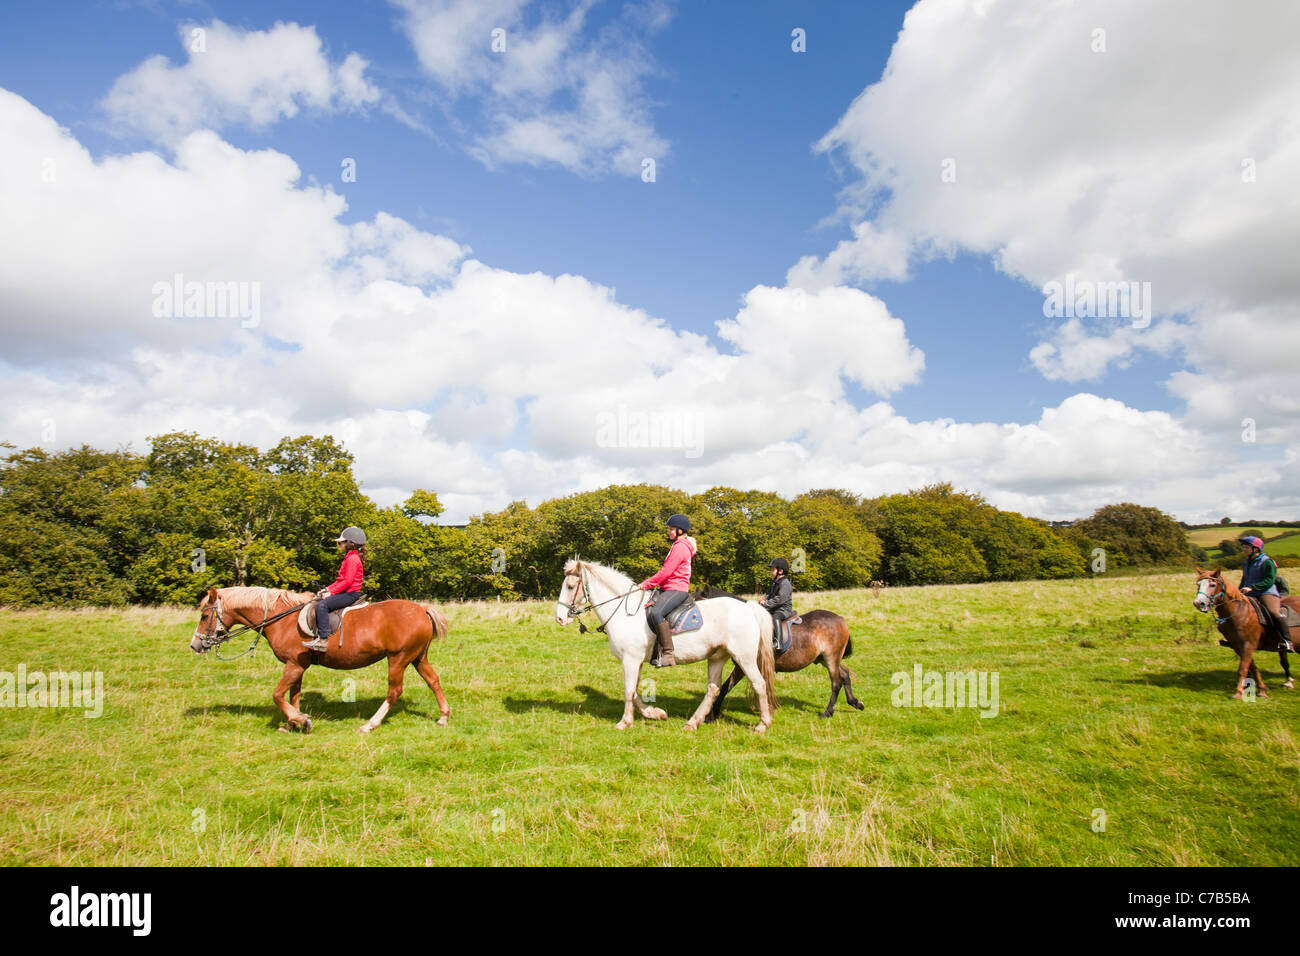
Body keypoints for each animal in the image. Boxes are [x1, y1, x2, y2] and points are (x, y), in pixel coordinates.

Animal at [190, 586, 450, 733]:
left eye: (204, 616)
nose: (195, 645)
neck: (282, 619)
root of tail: (421, 609)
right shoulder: (297, 666)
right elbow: (293, 696)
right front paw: (291, 723)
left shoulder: (294, 665)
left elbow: (277, 695)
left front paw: (301, 720)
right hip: (417, 657)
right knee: (433, 680)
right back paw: (443, 717)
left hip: (398, 658)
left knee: (394, 690)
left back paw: (370, 724)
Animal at [554, 560, 778, 732]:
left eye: (571, 587)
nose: (559, 618)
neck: (625, 613)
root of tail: (748, 607)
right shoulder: (636, 661)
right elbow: (635, 691)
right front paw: (655, 714)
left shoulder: (630, 660)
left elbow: (628, 690)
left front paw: (624, 722)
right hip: (717, 656)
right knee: (713, 688)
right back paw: (693, 723)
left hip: (744, 657)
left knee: (759, 684)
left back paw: (762, 725)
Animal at [695, 585, 863, 720]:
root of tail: (840, 619)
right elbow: (726, 686)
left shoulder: (744, 666)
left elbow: (725, 687)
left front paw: (711, 715)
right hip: (824, 658)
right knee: (845, 674)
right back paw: (855, 702)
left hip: (831, 657)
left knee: (836, 682)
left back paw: (827, 712)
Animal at [1192, 568, 1295, 698]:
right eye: (1198, 584)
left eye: (1212, 585)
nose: (1198, 603)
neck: (1239, 613)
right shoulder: (1238, 646)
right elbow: (1252, 668)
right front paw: (1262, 690)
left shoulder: (1248, 644)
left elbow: (1243, 669)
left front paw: (1238, 693)